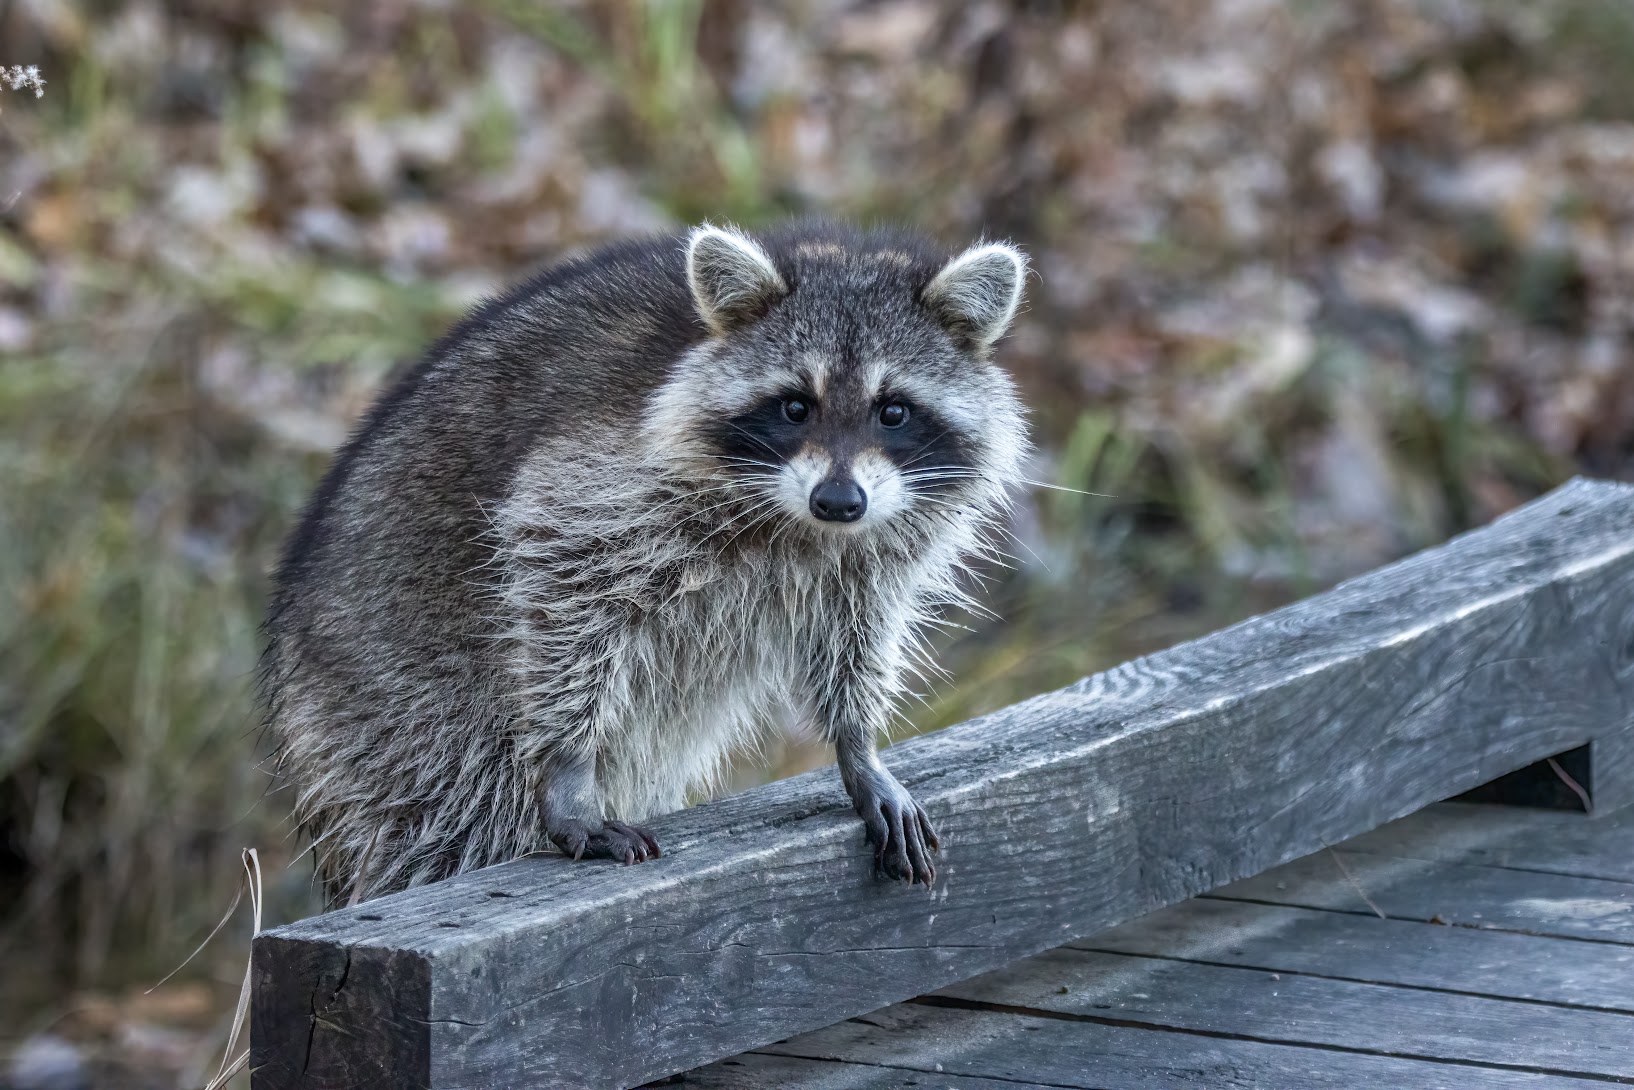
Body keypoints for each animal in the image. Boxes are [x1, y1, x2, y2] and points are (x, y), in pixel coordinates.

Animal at [261, 222, 1030, 905]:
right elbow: (562, 579)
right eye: (794, 407)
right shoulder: (605, 473)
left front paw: (857, 744)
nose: (838, 501)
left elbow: (859, 630)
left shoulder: (877, 545)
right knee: (452, 807)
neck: (801, 525)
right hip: (401, 716)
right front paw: (569, 768)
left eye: (893, 411)